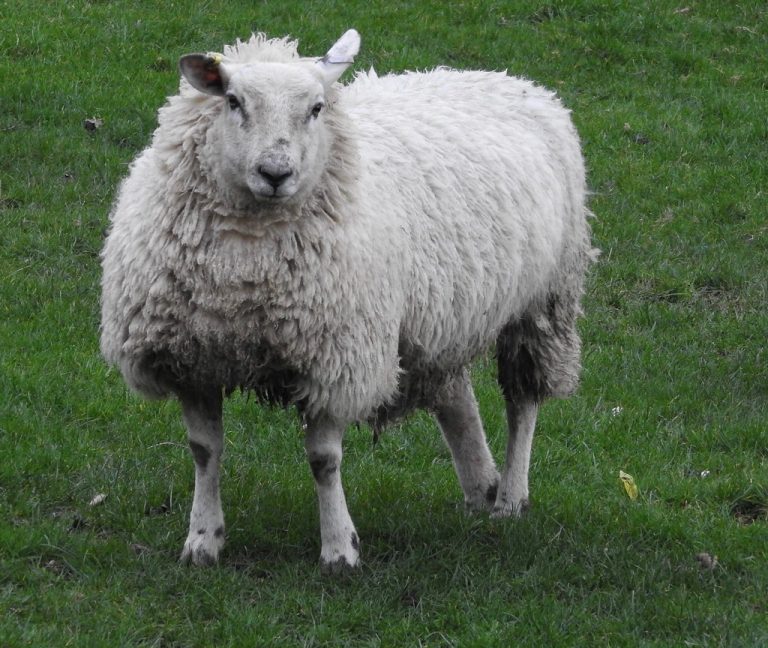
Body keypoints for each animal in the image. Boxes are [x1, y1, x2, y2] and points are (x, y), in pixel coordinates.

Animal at [100, 28, 596, 571]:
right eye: (232, 101)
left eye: (317, 108)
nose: (275, 172)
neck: (246, 267)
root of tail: (509, 79)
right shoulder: (192, 357)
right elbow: (204, 451)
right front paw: (202, 540)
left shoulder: (336, 358)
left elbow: (324, 460)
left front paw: (339, 548)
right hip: (437, 316)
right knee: (455, 394)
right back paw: (479, 487)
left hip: (543, 301)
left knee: (523, 398)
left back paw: (509, 497)